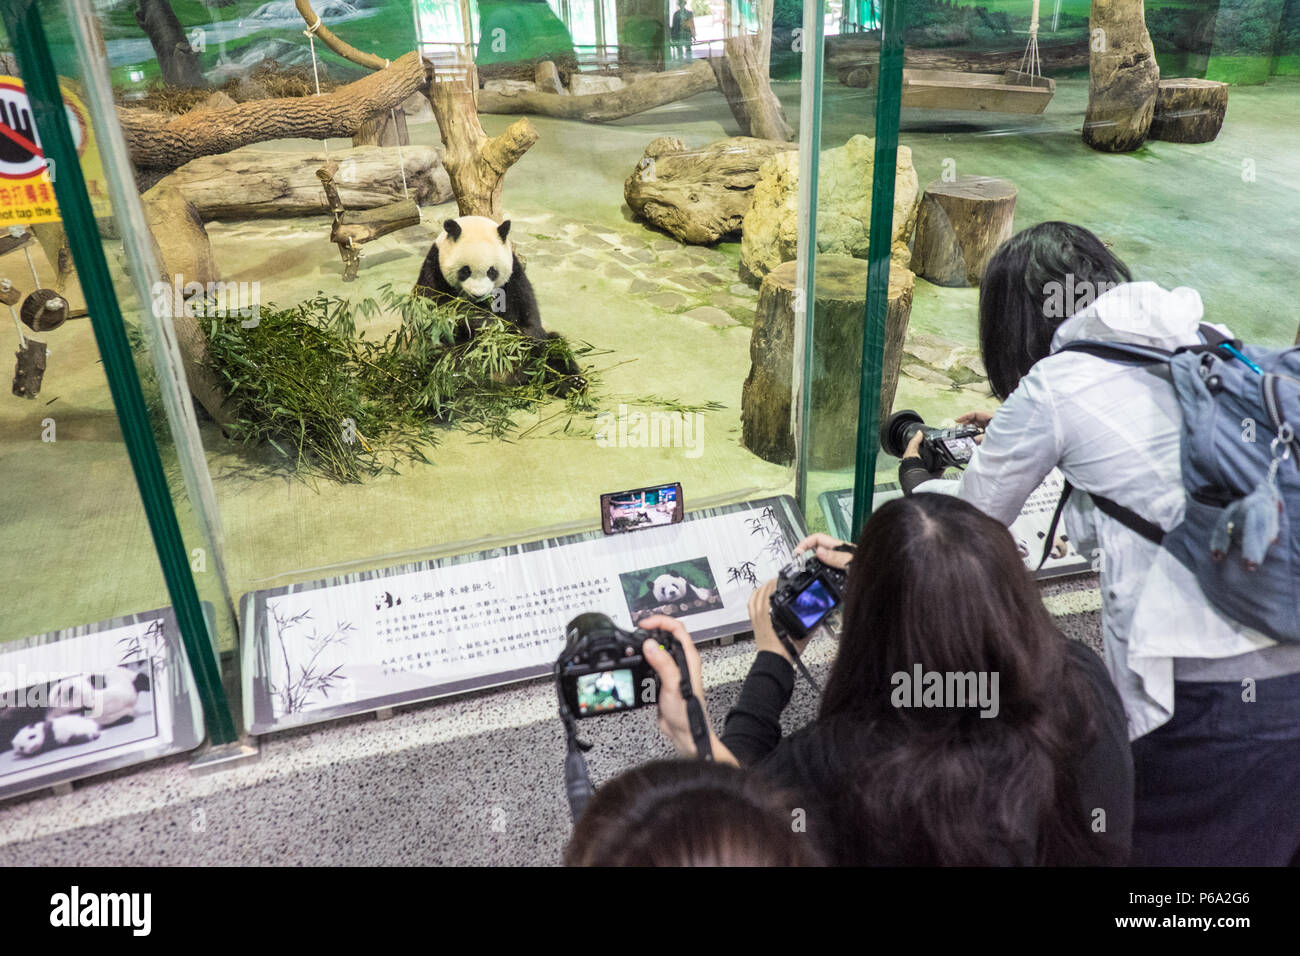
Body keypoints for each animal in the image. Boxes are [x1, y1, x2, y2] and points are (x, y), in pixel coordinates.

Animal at [414, 216, 585, 396]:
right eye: (465, 271)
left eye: (491, 271)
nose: (478, 294)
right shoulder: (434, 271)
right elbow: (436, 314)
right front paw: (487, 325)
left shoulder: (514, 275)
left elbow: (528, 314)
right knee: (446, 364)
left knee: (556, 349)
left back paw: (571, 383)